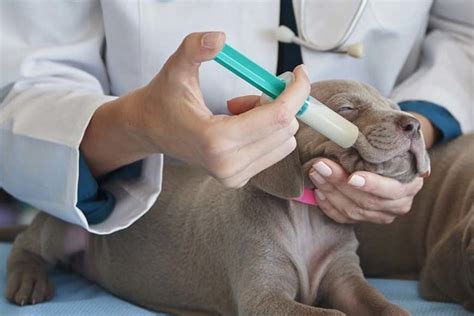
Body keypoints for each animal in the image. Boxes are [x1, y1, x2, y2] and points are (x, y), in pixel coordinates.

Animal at [4, 80, 430, 314]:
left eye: (397, 108)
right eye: (346, 108)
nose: (413, 125)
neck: (307, 216)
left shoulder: (344, 278)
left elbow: (387, 307)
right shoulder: (263, 296)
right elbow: (331, 315)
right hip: (64, 225)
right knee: (28, 243)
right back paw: (27, 280)